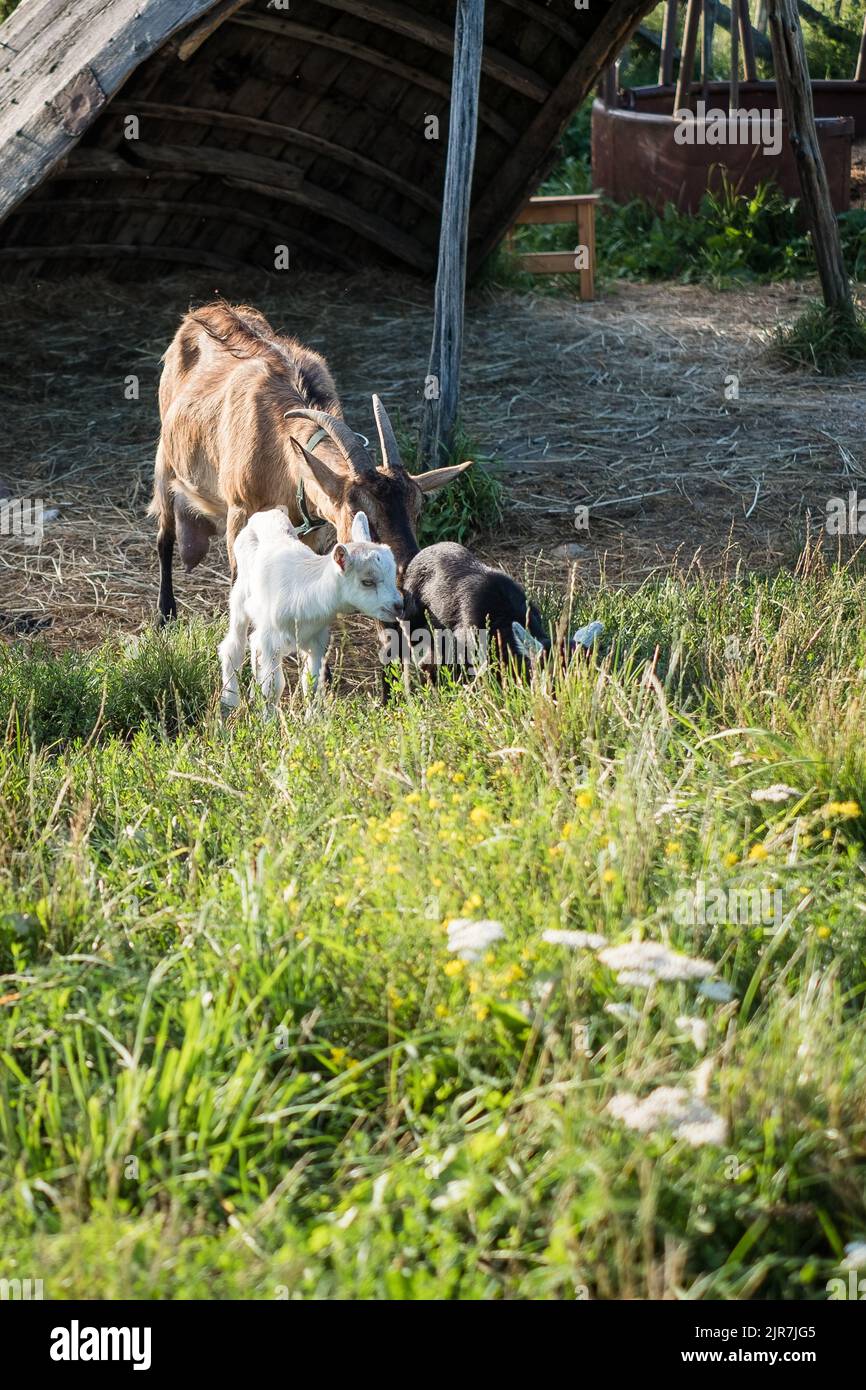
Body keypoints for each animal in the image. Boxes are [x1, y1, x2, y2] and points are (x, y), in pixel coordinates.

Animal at [150, 301, 471, 623]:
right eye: (360, 514)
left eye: (418, 510)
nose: (406, 575)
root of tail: (204, 310)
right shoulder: (239, 512)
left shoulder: (312, 530)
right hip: (165, 462)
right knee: (164, 536)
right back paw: (165, 613)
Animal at [218, 508, 403, 709]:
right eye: (367, 582)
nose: (398, 606)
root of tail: (266, 514)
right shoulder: (271, 641)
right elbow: (274, 687)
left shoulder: (317, 640)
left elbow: (312, 684)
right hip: (241, 593)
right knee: (233, 646)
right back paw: (229, 702)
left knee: (253, 642)